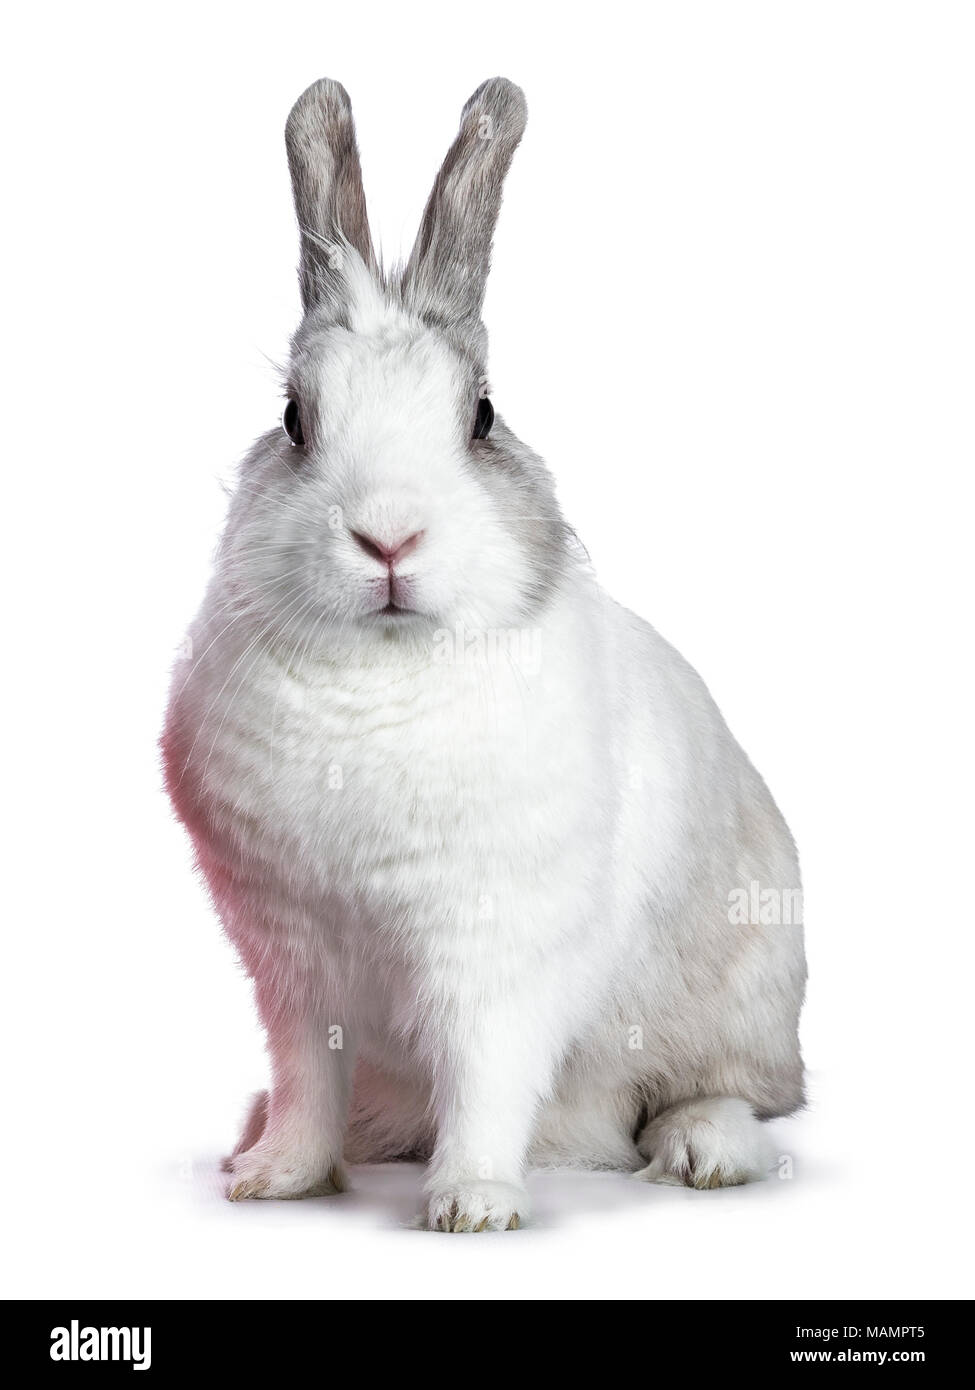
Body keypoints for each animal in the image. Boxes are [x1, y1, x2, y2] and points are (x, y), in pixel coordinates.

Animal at [162, 76, 806, 1233]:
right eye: (294, 419)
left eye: (483, 415)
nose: (387, 537)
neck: (374, 679)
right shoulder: (295, 968)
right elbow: (306, 1078)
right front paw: (277, 1178)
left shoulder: (496, 953)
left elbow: (486, 1072)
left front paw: (472, 1207)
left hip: (744, 1005)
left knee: (723, 1096)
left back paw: (701, 1151)